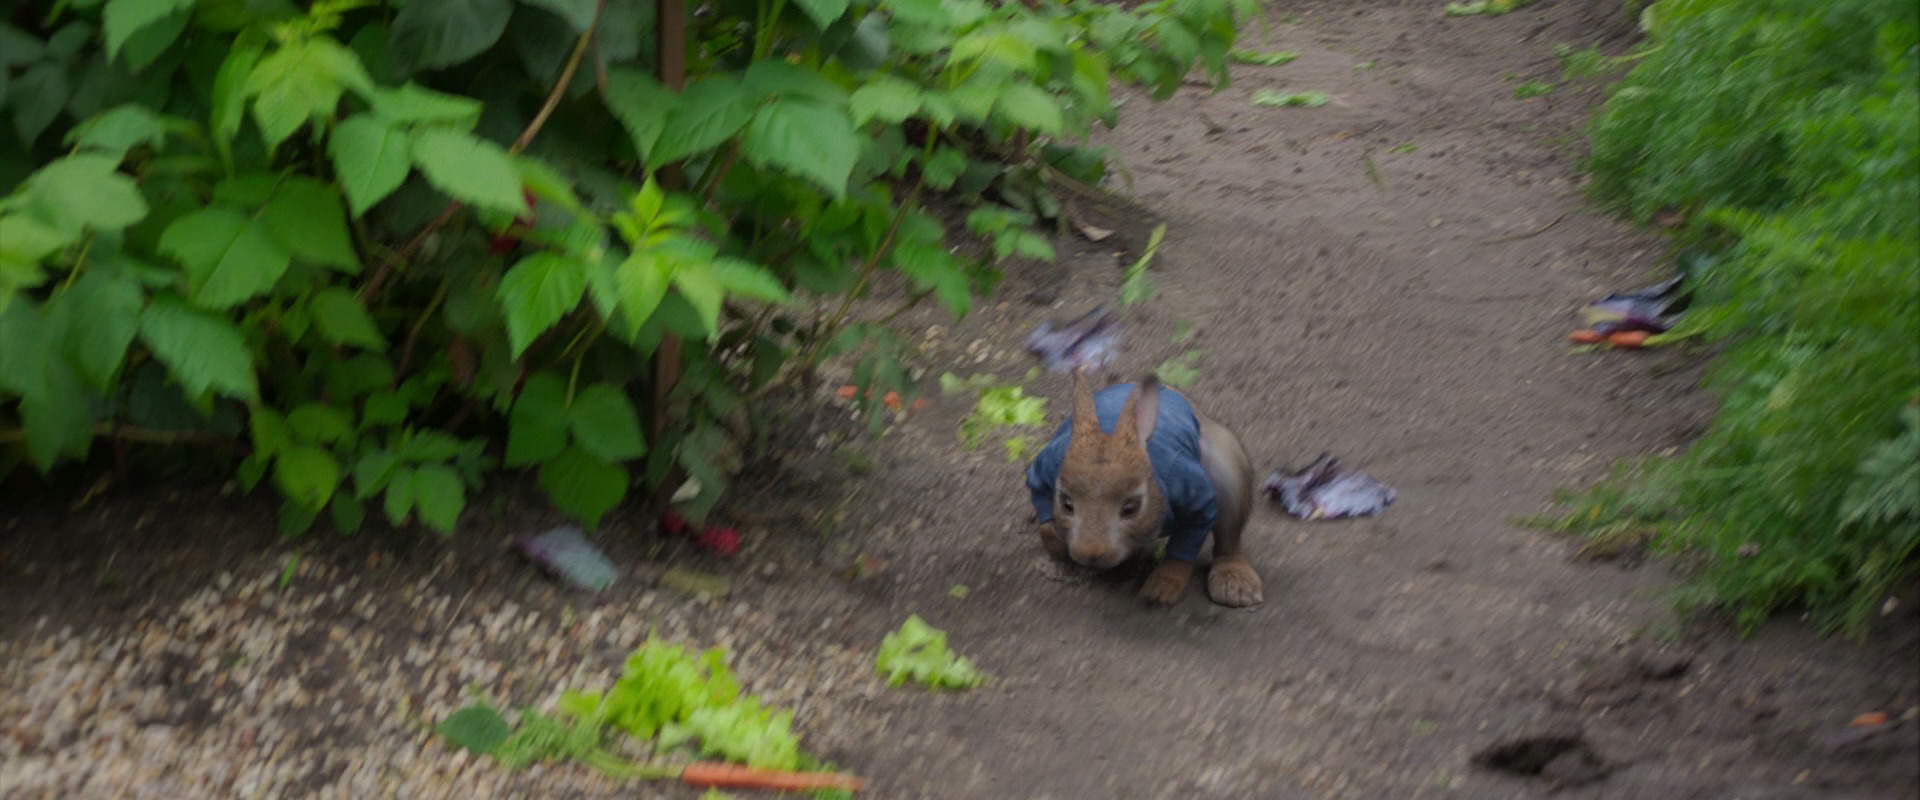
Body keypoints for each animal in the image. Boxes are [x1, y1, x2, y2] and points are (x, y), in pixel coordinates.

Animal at [1025, 367, 1262, 607]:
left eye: (1130, 508)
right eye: (1066, 504)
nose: (1090, 554)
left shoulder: (1193, 494)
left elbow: (1186, 543)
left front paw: (1161, 590)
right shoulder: (1047, 465)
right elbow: (1044, 514)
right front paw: (1058, 549)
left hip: (1228, 466)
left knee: (1228, 533)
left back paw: (1235, 586)